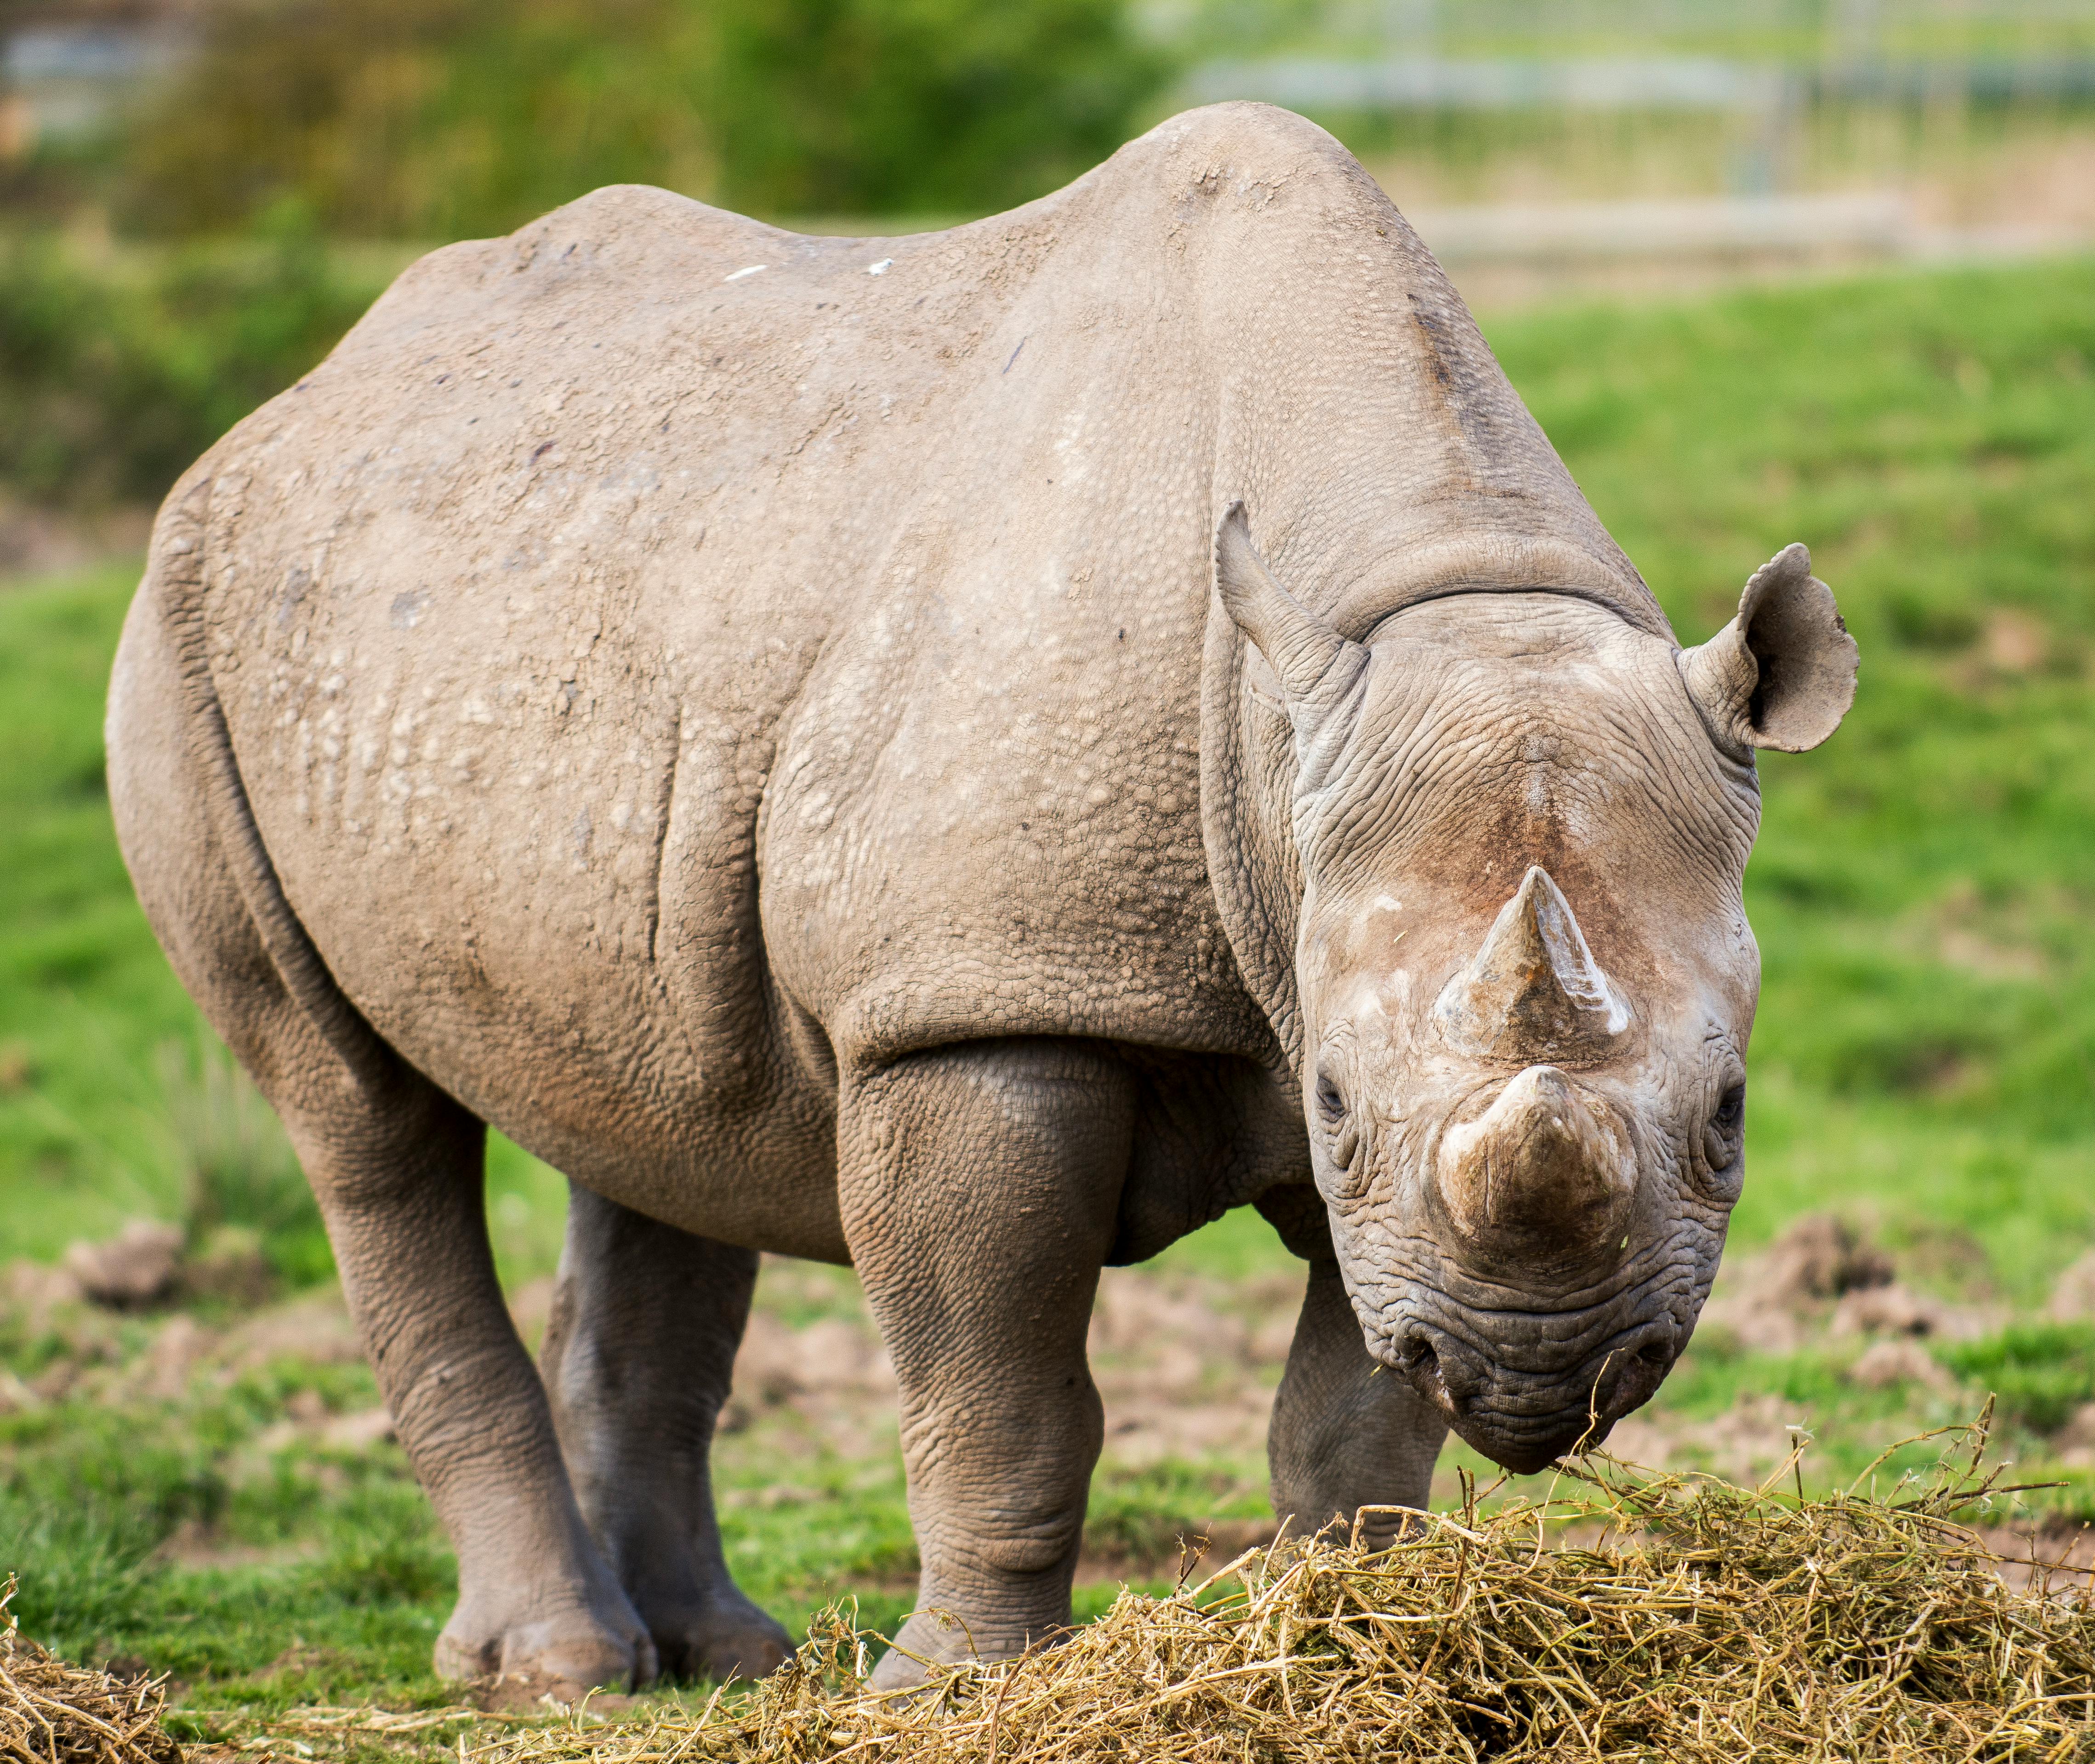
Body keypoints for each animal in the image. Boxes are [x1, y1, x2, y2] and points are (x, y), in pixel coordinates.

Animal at [106, 102, 1855, 1692]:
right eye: (1338, 1104)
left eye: (1729, 1110)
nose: (1542, 1370)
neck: (1422, 586)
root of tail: (294, 400)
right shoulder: (971, 1001)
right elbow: (1003, 1389)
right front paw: (954, 1685)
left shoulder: (1314, 991)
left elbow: (1350, 1409)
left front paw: (1351, 1629)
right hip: (186, 624)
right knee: (359, 1116)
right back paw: (560, 1671)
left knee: (664, 1108)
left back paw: (722, 1656)